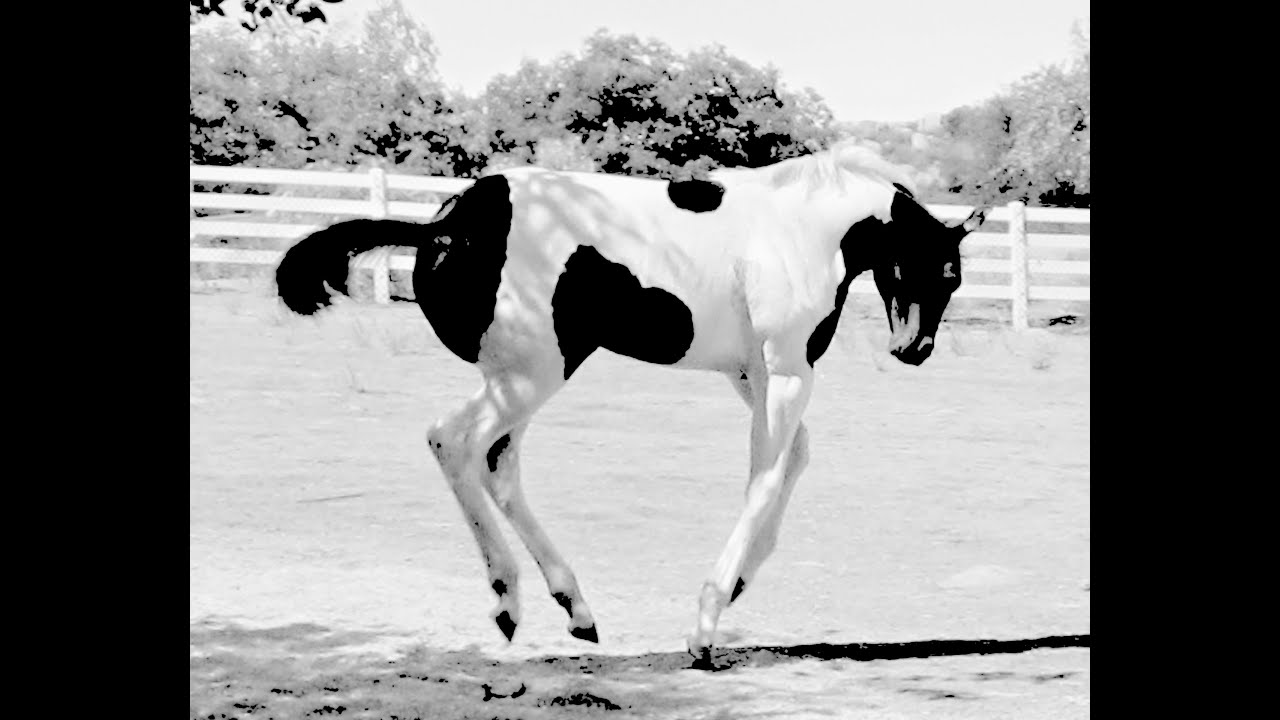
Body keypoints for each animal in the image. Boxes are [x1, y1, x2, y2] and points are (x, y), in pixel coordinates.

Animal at [275, 142, 988, 663]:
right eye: (934, 270)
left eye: (953, 279)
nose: (915, 349)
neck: (800, 228)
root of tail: (448, 223)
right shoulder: (787, 369)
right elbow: (763, 477)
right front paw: (705, 625)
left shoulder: (751, 373)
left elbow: (795, 457)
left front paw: (739, 583)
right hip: (535, 374)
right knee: (454, 442)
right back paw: (508, 602)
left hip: (519, 376)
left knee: (498, 466)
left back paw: (574, 610)